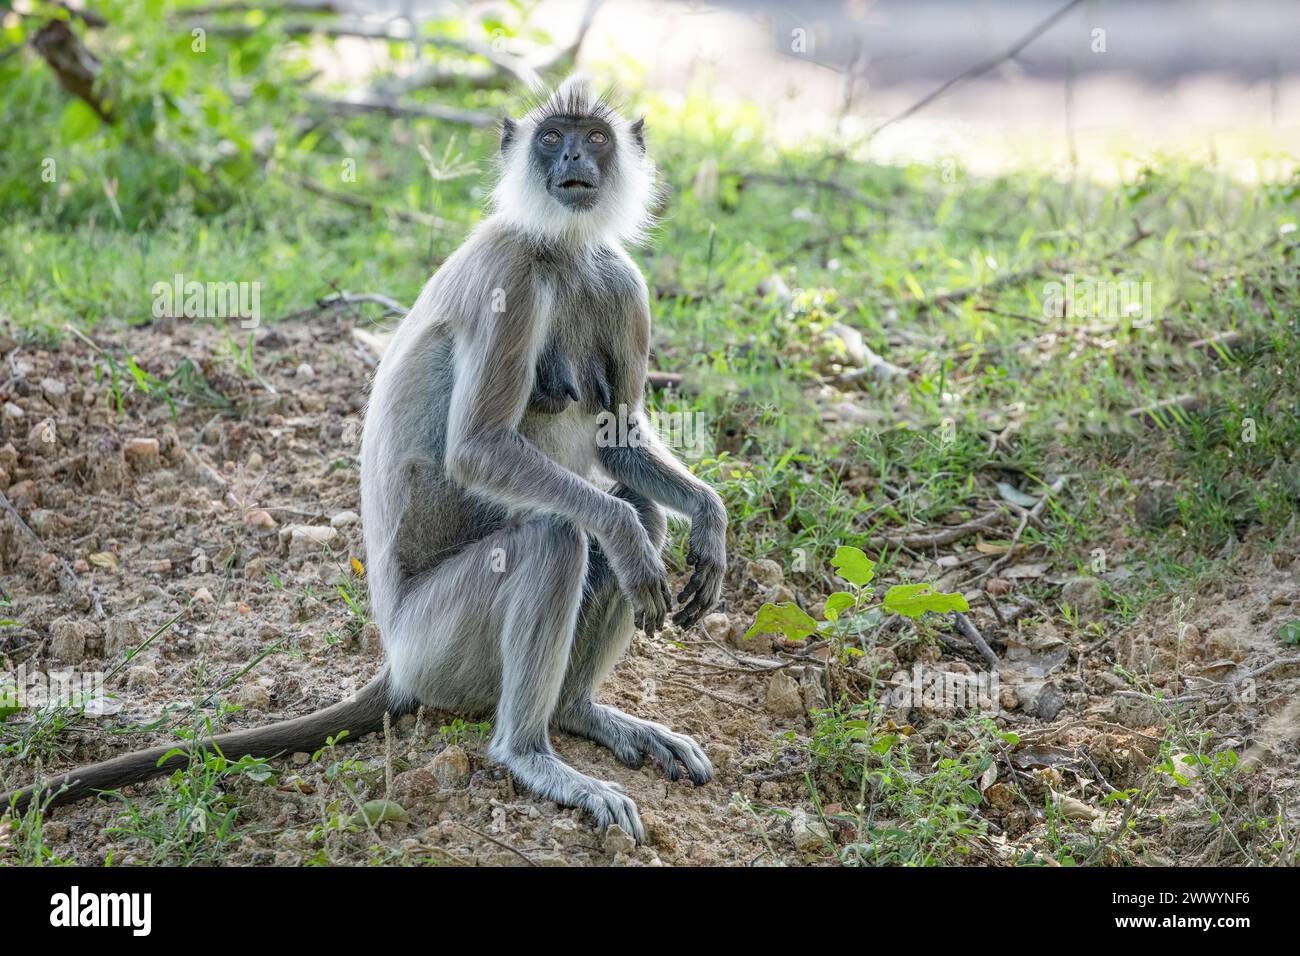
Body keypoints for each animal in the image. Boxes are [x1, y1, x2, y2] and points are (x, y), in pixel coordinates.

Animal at [3, 76, 727, 843]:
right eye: (552, 137)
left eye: (593, 139)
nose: (572, 162)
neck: (562, 250)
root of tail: (396, 666)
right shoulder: (507, 271)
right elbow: (481, 450)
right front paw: (633, 535)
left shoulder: (621, 283)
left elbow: (619, 443)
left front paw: (710, 518)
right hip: (438, 645)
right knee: (559, 535)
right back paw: (531, 753)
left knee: (635, 510)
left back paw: (577, 711)